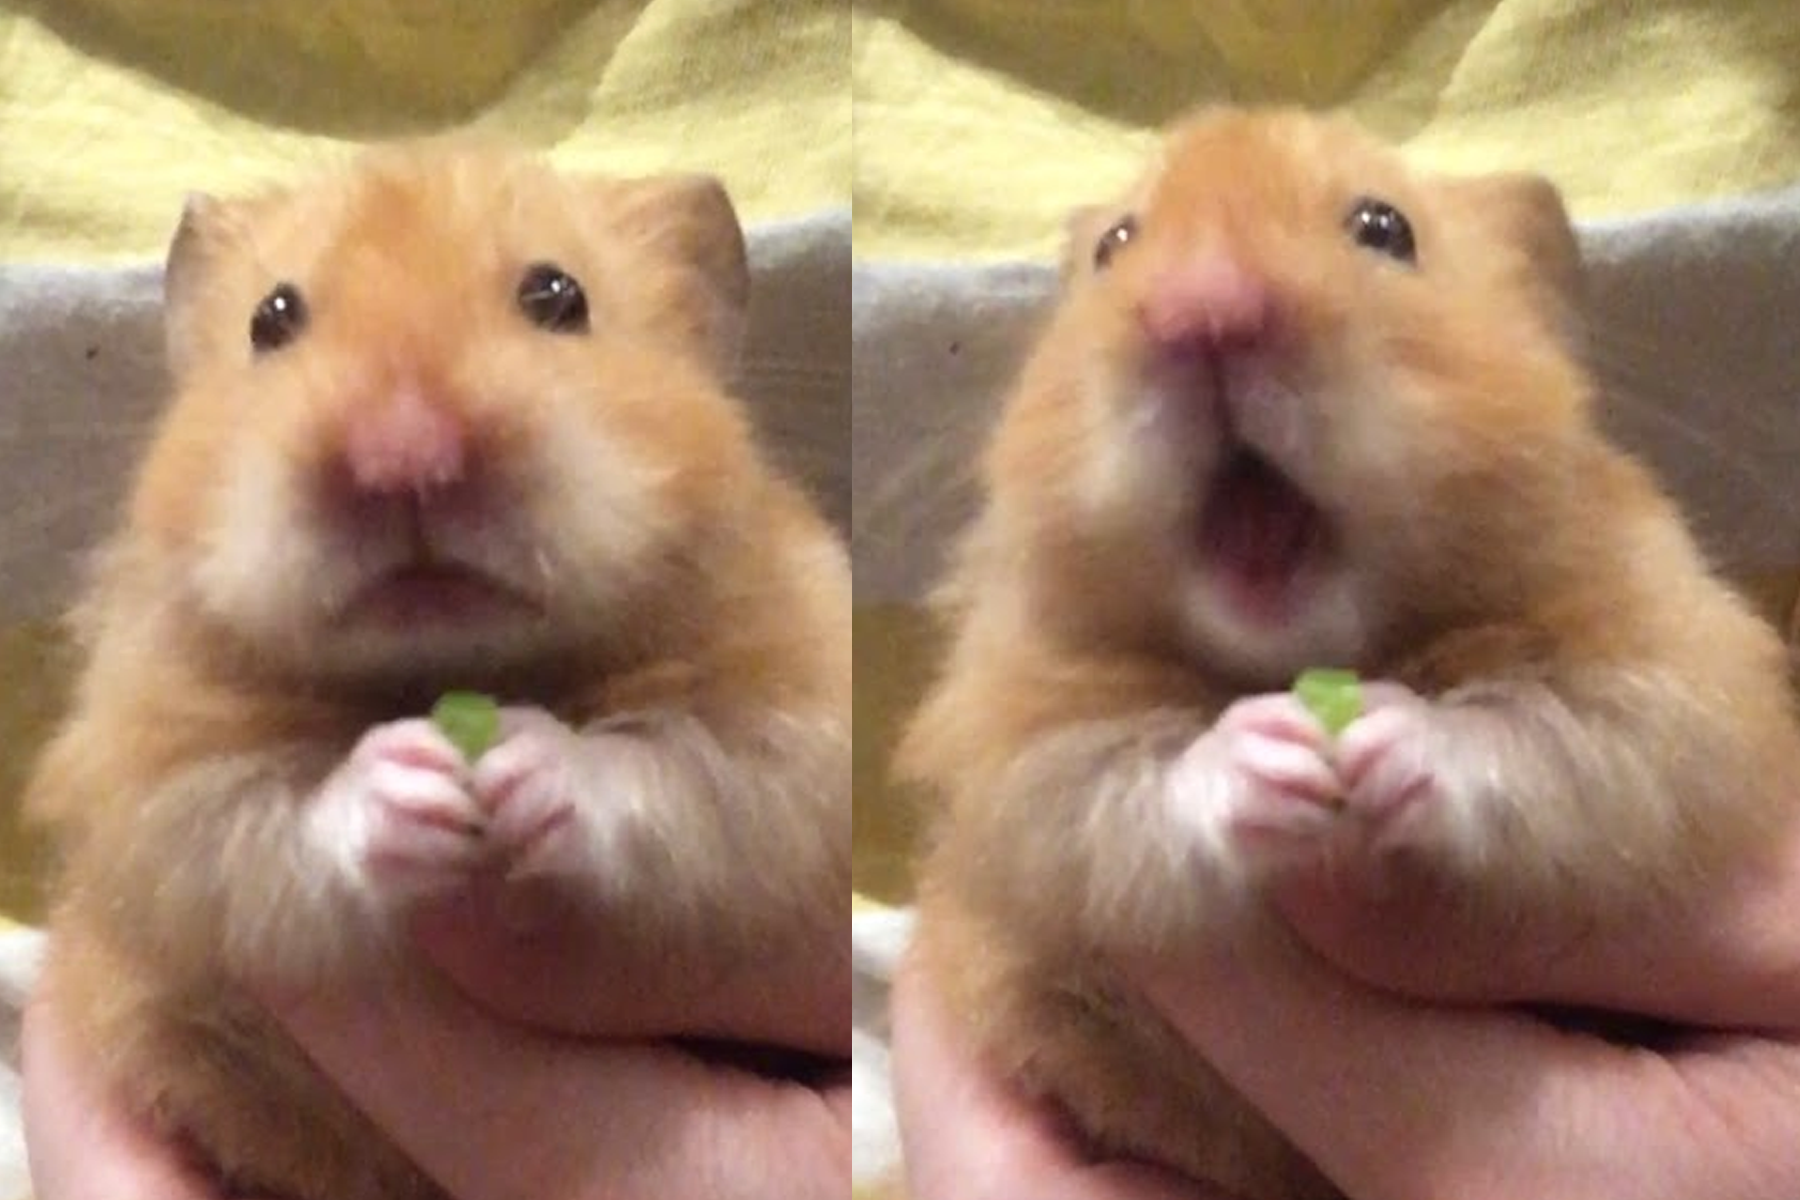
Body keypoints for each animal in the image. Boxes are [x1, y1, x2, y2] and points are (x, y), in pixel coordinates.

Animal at [26, 141, 849, 1200]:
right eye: (271, 318)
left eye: (559, 296)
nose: (404, 456)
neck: (434, 665)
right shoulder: (150, 787)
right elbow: (268, 822)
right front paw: (407, 784)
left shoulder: (790, 739)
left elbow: (675, 770)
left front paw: (526, 767)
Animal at [901, 108, 1800, 1198]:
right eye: (1117, 246)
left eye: (1385, 229)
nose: (1205, 312)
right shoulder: (1011, 751)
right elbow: (1118, 779)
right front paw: (1268, 755)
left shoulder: (1672, 684)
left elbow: (1540, 733)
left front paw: (1383, 734)